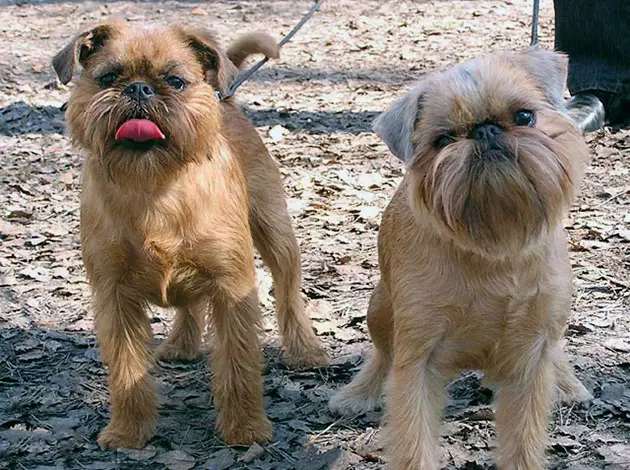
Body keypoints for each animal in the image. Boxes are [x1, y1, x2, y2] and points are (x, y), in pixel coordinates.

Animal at [53, 20, 330, 450]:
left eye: (175, 82)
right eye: (109, 78)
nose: (139, 88)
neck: (155, 187)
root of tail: (225, 98)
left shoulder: (232, 288)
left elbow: (238, 365)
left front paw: (246, 428)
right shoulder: (113, 297)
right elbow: (127, 370)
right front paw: (128, 430)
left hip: (276, 233)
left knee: (288, 294)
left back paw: (305, 351)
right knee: (188, 303)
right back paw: (182, 344)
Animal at [334, 49, 596, 468]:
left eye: (525, 116)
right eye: (443, 140)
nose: (485, 130)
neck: (496, 246)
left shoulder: (531, 356)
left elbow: (523, 438)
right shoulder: (417, 361)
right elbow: (414, 440)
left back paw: (568, 384)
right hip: (379, 308)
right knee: (382, 352)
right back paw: (358, 393)